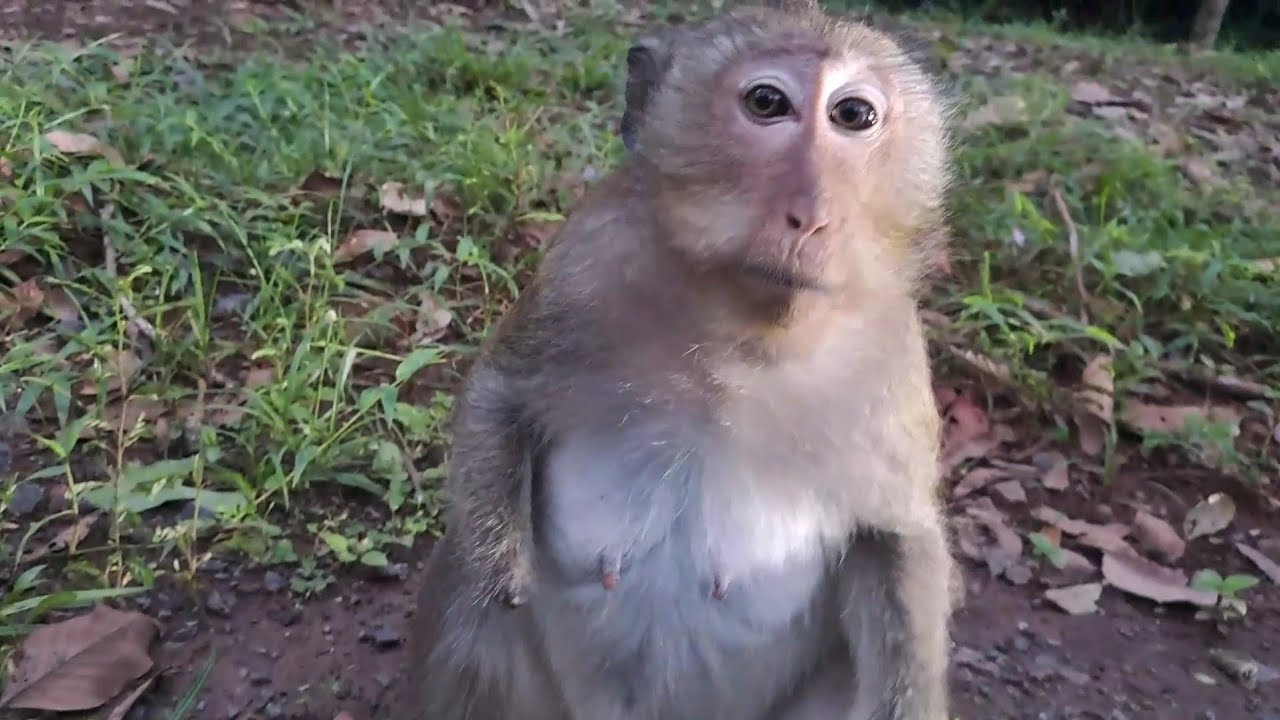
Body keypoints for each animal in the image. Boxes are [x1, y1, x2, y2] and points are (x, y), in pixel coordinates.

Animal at [399, 1, 956, 718]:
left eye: (854, 114)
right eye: (767, 103)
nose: (811, 214)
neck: (748, 333)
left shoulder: (890, 357)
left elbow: (895, 535)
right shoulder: (588, 262)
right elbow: (501, 394)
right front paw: (501, 560)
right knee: (468, 610)